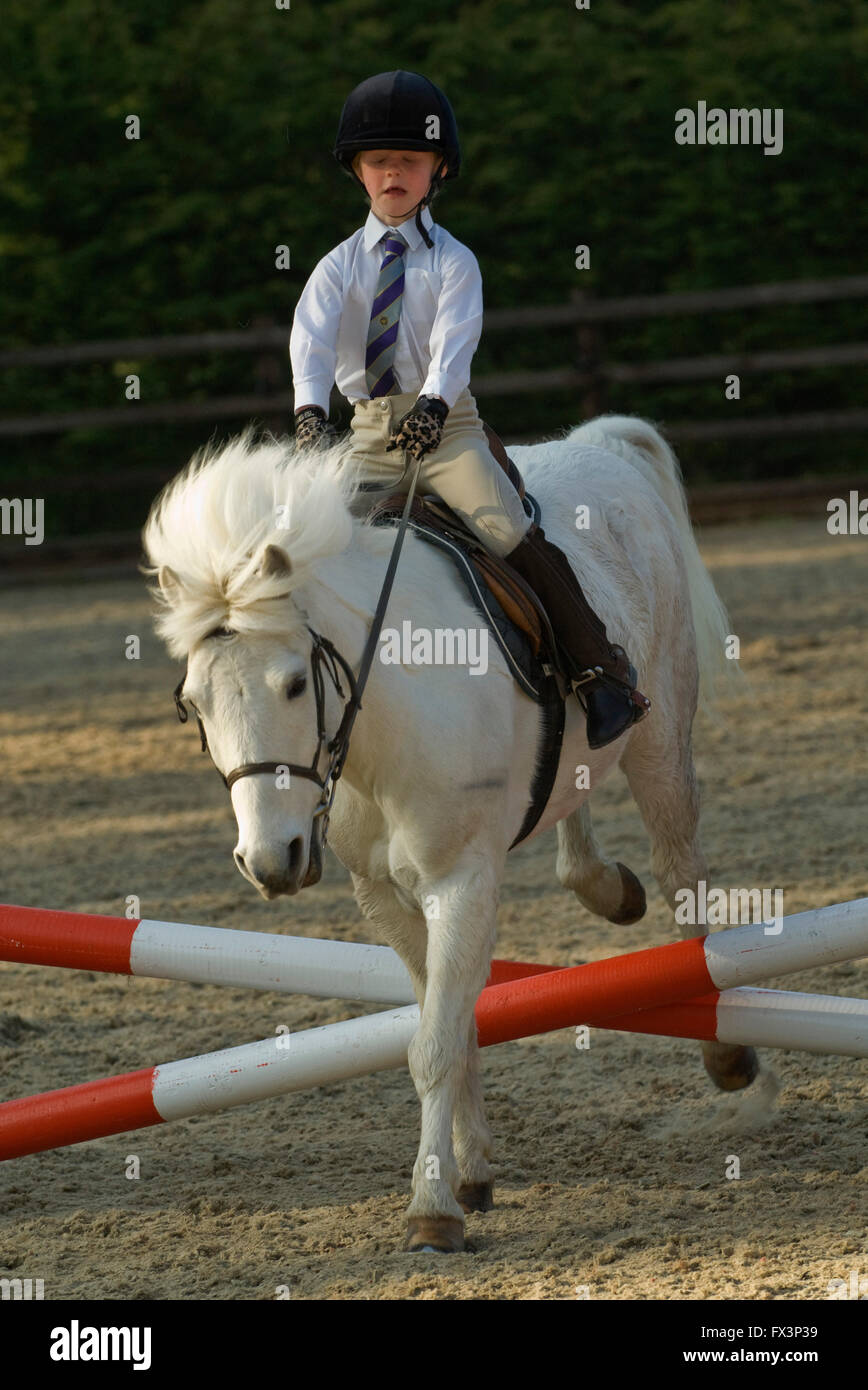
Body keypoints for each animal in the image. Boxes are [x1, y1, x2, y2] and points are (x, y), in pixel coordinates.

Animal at [142, 413, 757, 1253]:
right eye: (194, 703)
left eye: (295, 683)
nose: (271, 860)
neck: (378, 730)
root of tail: (597, 446)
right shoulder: (385, 898)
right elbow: (452, 1023)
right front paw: (470, 1172)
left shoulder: (460, 882)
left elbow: (434, 1044)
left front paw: (432, 1209)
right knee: (578, 807)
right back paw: (606, 886)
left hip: (661, 740)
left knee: (681, 872)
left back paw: (726, 1048)